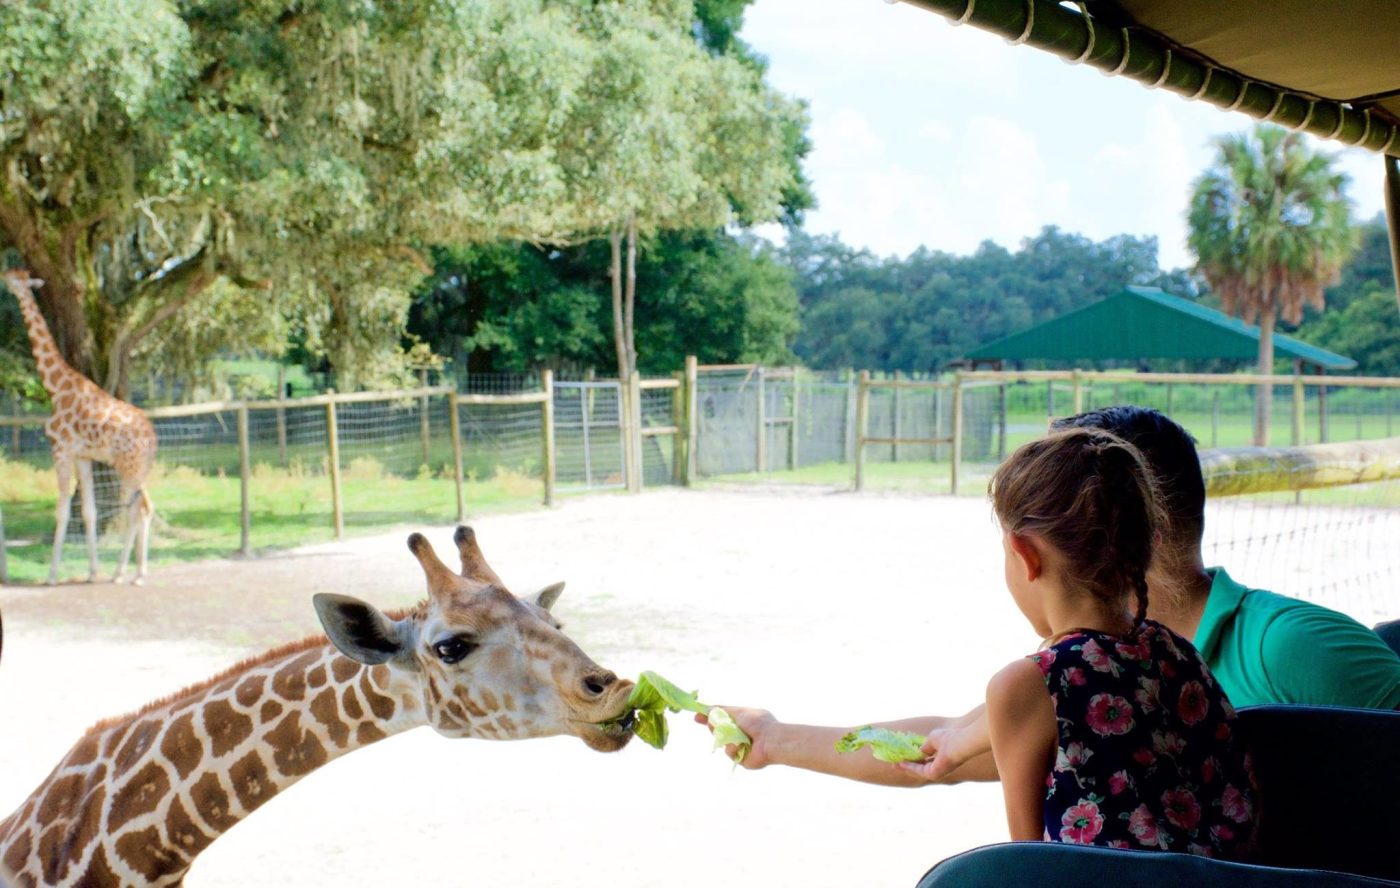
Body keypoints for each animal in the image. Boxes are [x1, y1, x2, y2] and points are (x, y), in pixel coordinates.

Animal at [2, 269, 157, 586]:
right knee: (144, 507)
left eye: (18, 277)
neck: (55, 388)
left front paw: (51, 576)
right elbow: (89, 512)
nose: (3, 276)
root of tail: (154, 438)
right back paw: (130, 572)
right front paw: (92, 572)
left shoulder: (60, 450)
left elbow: (62, 510)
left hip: (128, 466)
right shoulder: (83, 456)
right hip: (137, 467)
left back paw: (129, 574)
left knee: (140, 509)